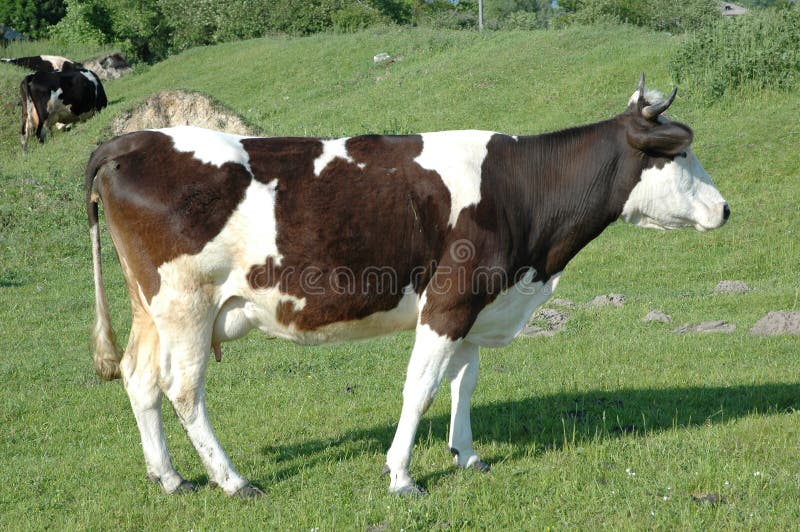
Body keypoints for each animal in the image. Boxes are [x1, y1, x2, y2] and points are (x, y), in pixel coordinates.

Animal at [85, 75, 729, 498]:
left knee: (139, 378)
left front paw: (466, 456)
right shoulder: (449, 301)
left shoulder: (478, 305)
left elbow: (464, 385)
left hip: (150, 306)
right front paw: (401, 475)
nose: (725, 208)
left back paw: (170, 477)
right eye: (682, 154)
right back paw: (233, 480)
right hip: (187, 303)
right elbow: (420, 389)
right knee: (183, 389)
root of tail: (133, 138)